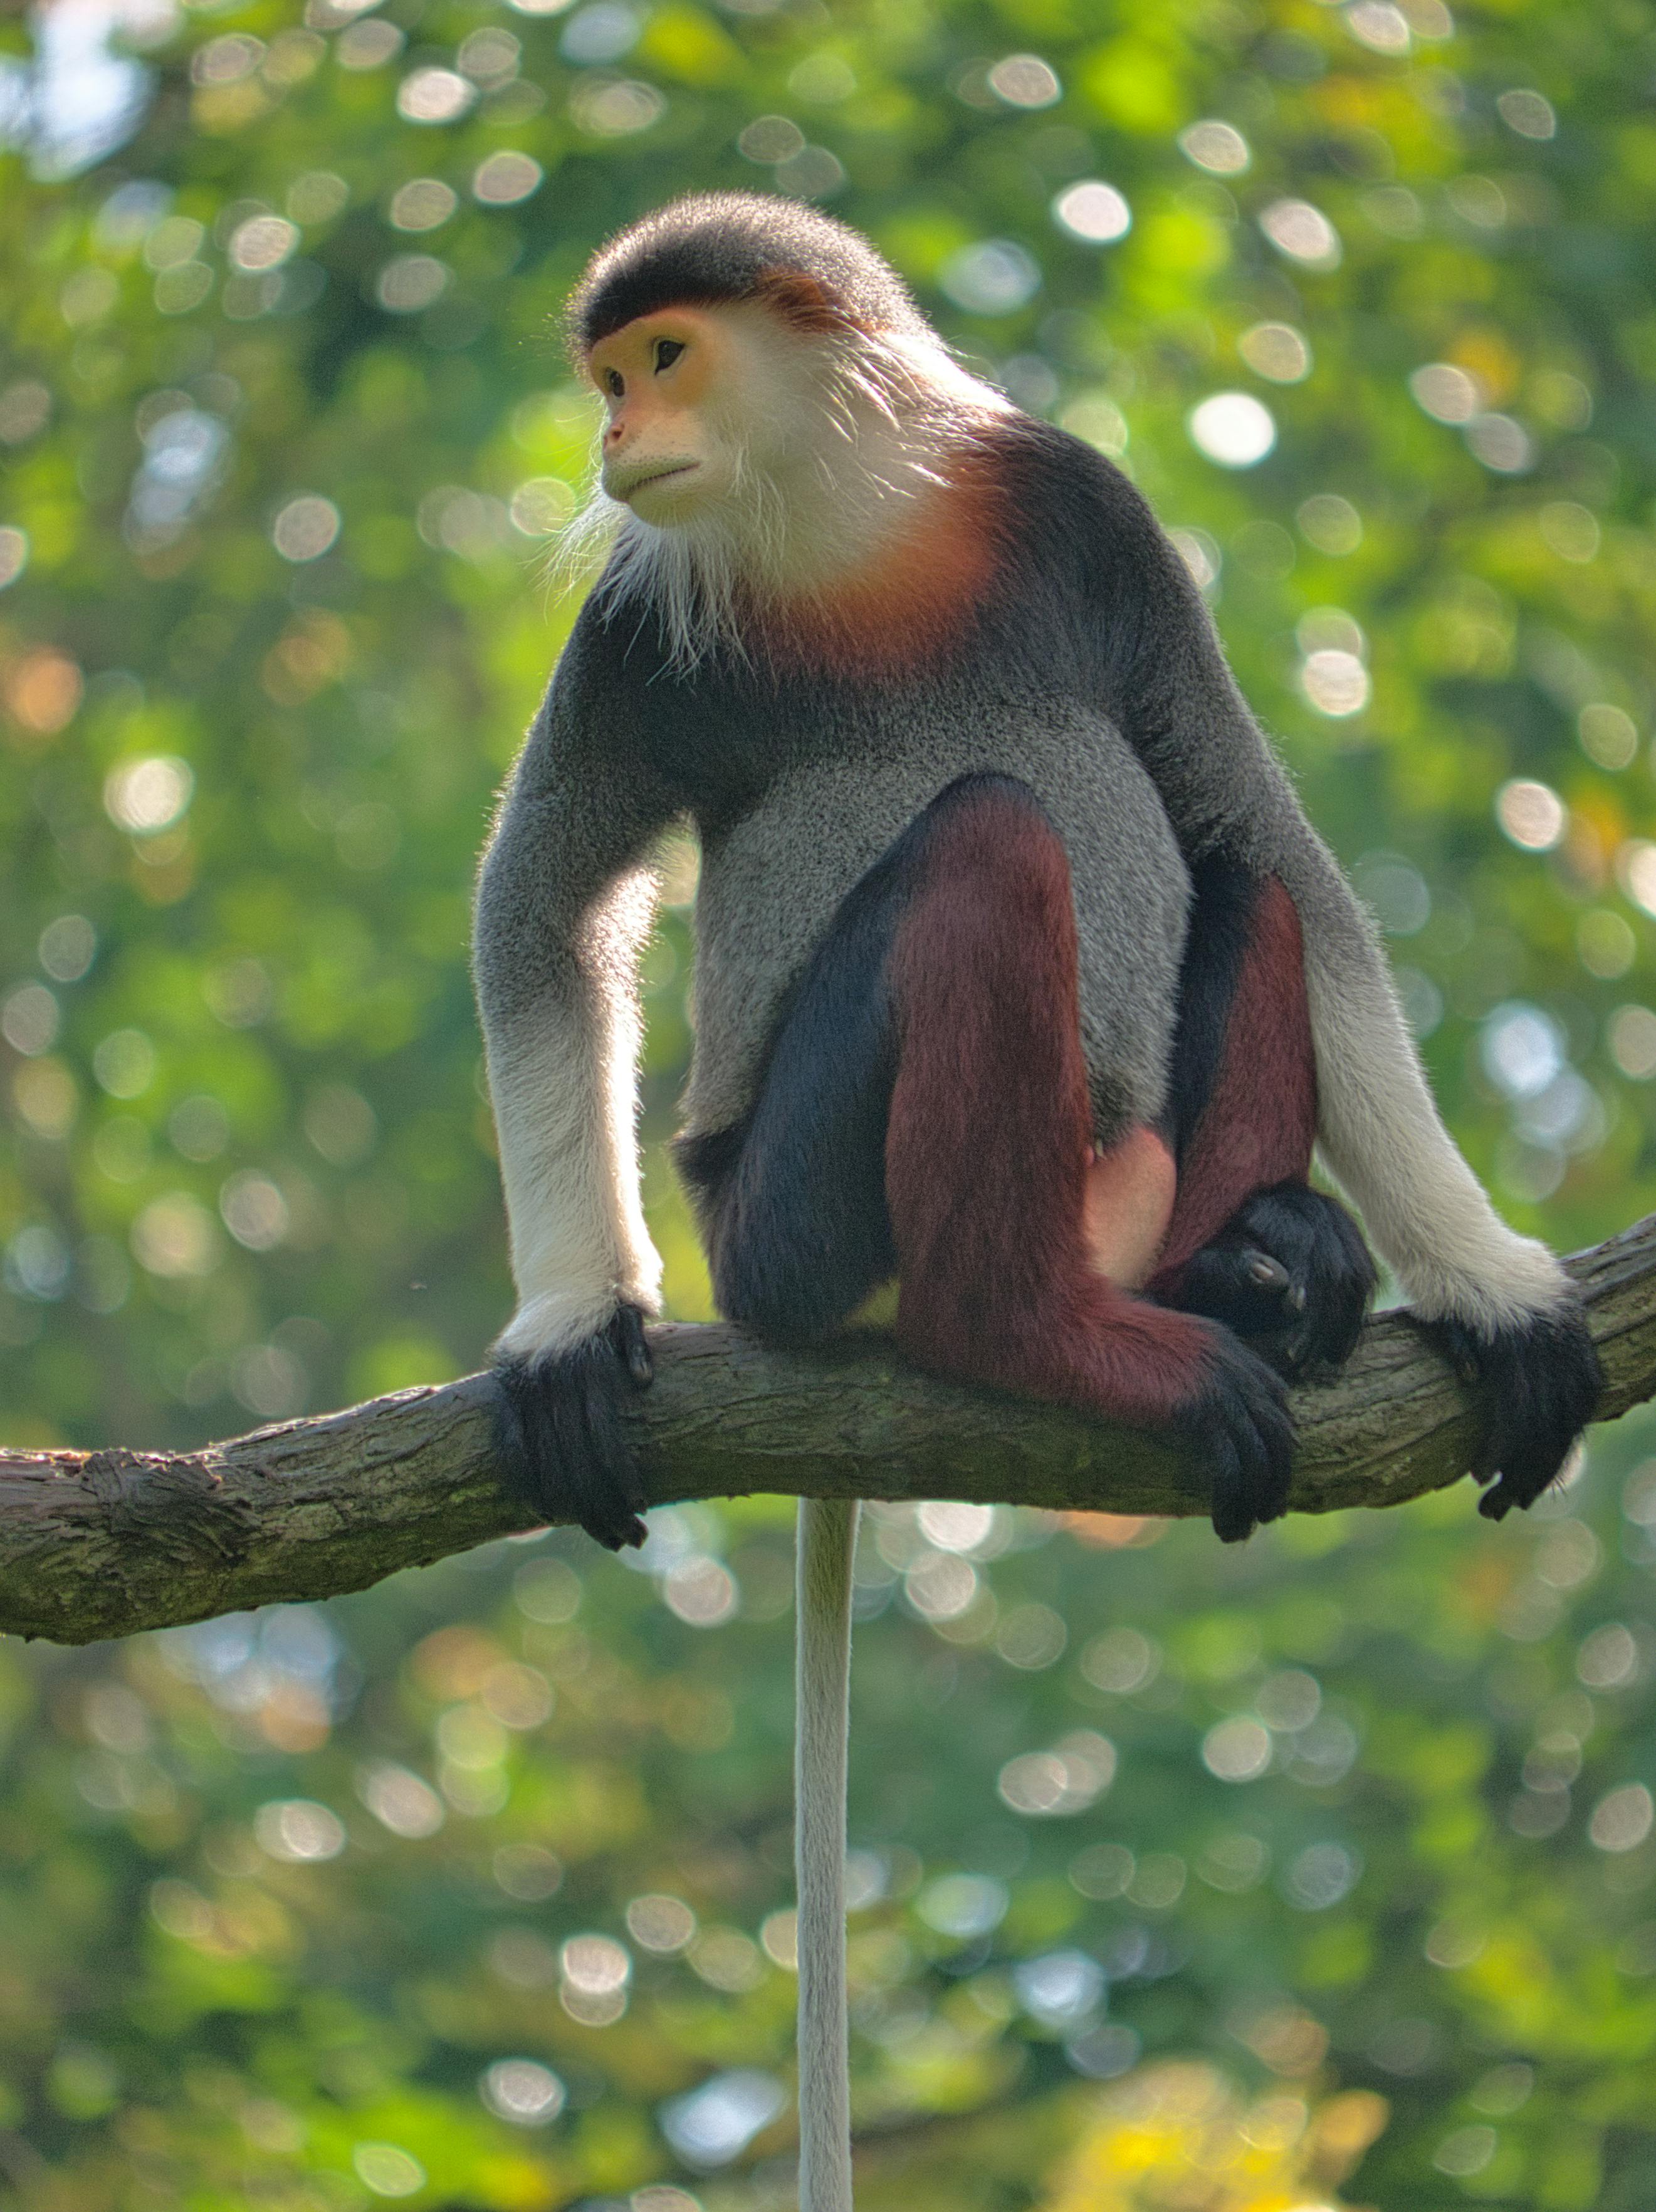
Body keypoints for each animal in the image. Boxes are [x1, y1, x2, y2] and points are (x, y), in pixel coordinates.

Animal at [473, 195, 1602, 2212]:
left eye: (657, 363)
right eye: (607, 377)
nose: (613, 438)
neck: (853, 530)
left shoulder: (1091, 514)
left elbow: (1267, 837)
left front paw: (1482, 1283)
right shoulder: (634, 619)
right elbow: (543, 917)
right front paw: (566, 1321)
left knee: (1239, 878)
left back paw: (1245, 1267)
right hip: (787, 1220)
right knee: (995, 836)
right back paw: (1021, 1327)